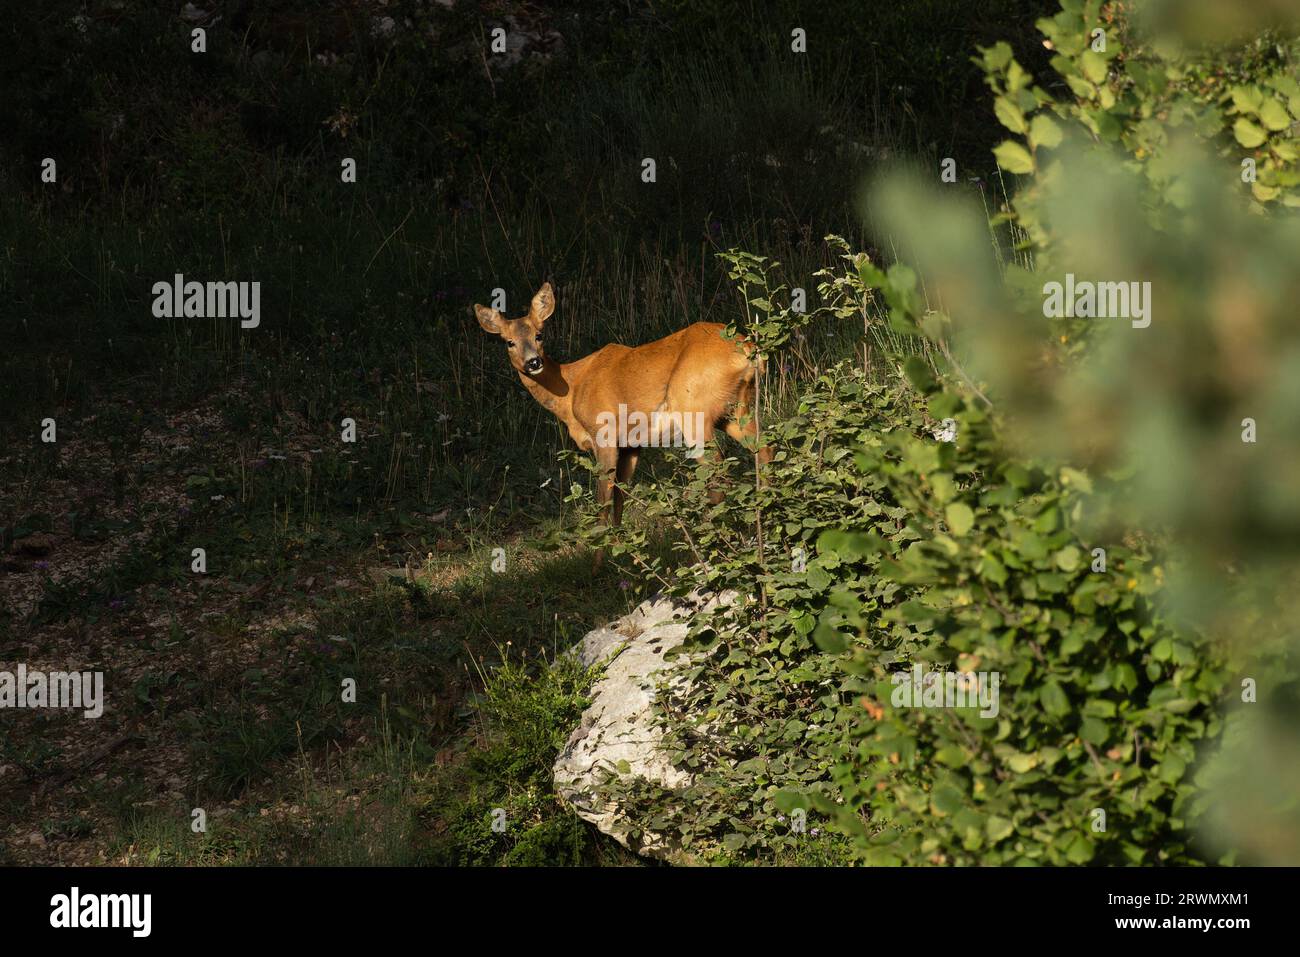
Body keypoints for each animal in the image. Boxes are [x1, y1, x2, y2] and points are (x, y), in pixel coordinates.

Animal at [474, 282, 772, 538]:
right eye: (509, 342)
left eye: (539, 335)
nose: (533, 362)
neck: (571, 391)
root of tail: (747, 350)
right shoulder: (631, 445)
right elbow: (619, 502)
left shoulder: (604, 434)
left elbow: (603, 505)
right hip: (735, 410)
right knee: (764, 449)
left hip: (692, 408)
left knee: (717, 475)